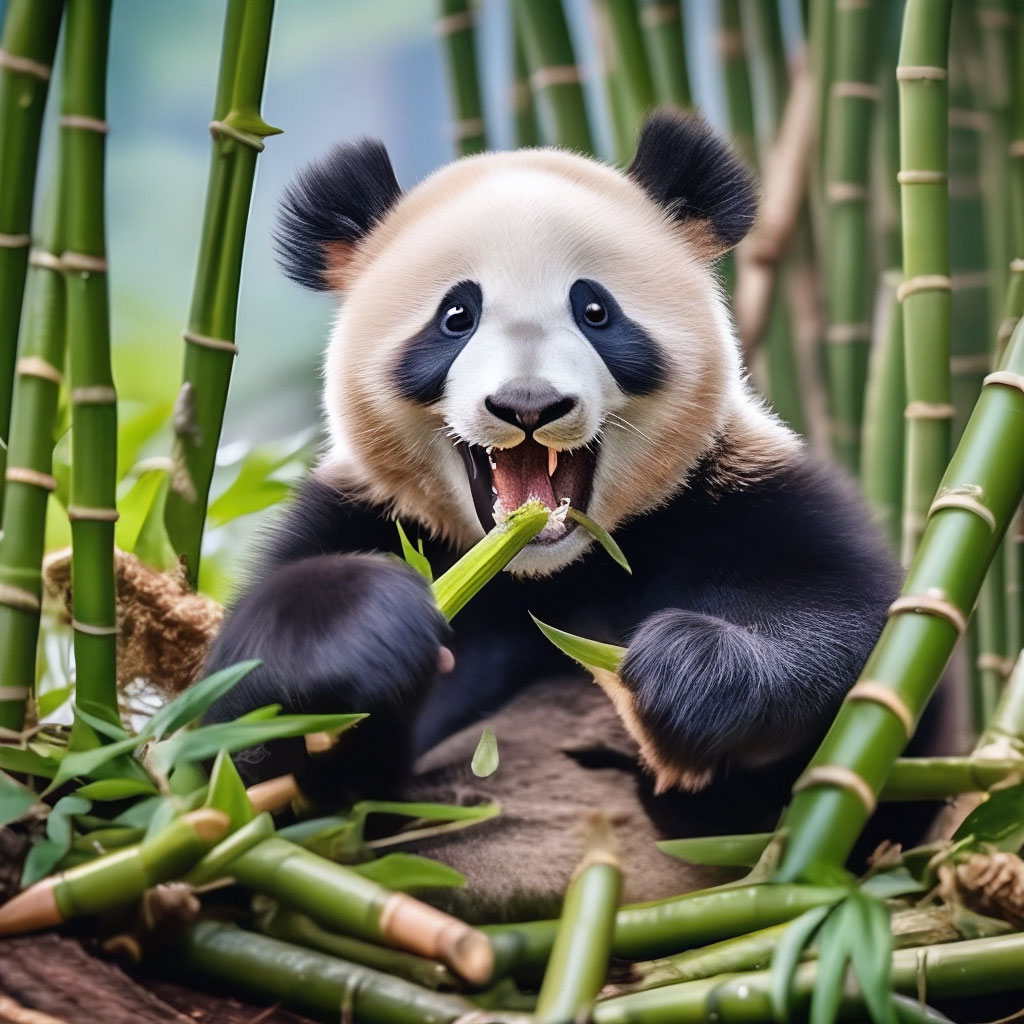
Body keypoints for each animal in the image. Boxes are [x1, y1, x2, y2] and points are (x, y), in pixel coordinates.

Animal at [204, 110, 913, 922]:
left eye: (595, 309)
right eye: (456, 316)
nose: (528, 406)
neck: (546, 570)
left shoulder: (747, 496)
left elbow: (854, 642)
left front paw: (686, 674)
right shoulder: (357, 518)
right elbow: (236, 758)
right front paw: (368, 630)